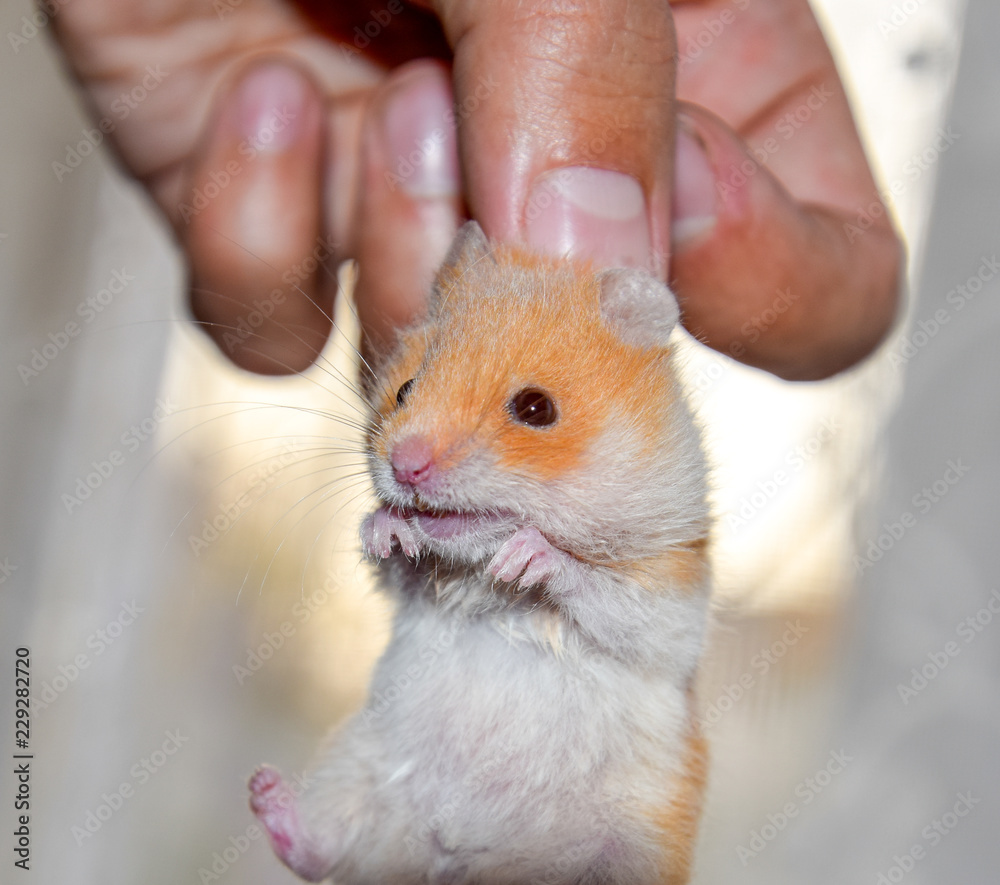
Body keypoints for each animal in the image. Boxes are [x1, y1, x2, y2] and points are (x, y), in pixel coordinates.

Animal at [248, 221, 712, 884]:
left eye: (536, 408)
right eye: (404, 389)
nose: (405, 465)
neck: (475, 579)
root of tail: (459, 858)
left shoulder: (676, 594)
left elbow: (620, 603)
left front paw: (525, 557)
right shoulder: (413, 596)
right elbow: (397, 573)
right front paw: (388, 530)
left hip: (632, 848)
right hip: (358, 762)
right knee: (321, 852)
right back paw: (265, 793)